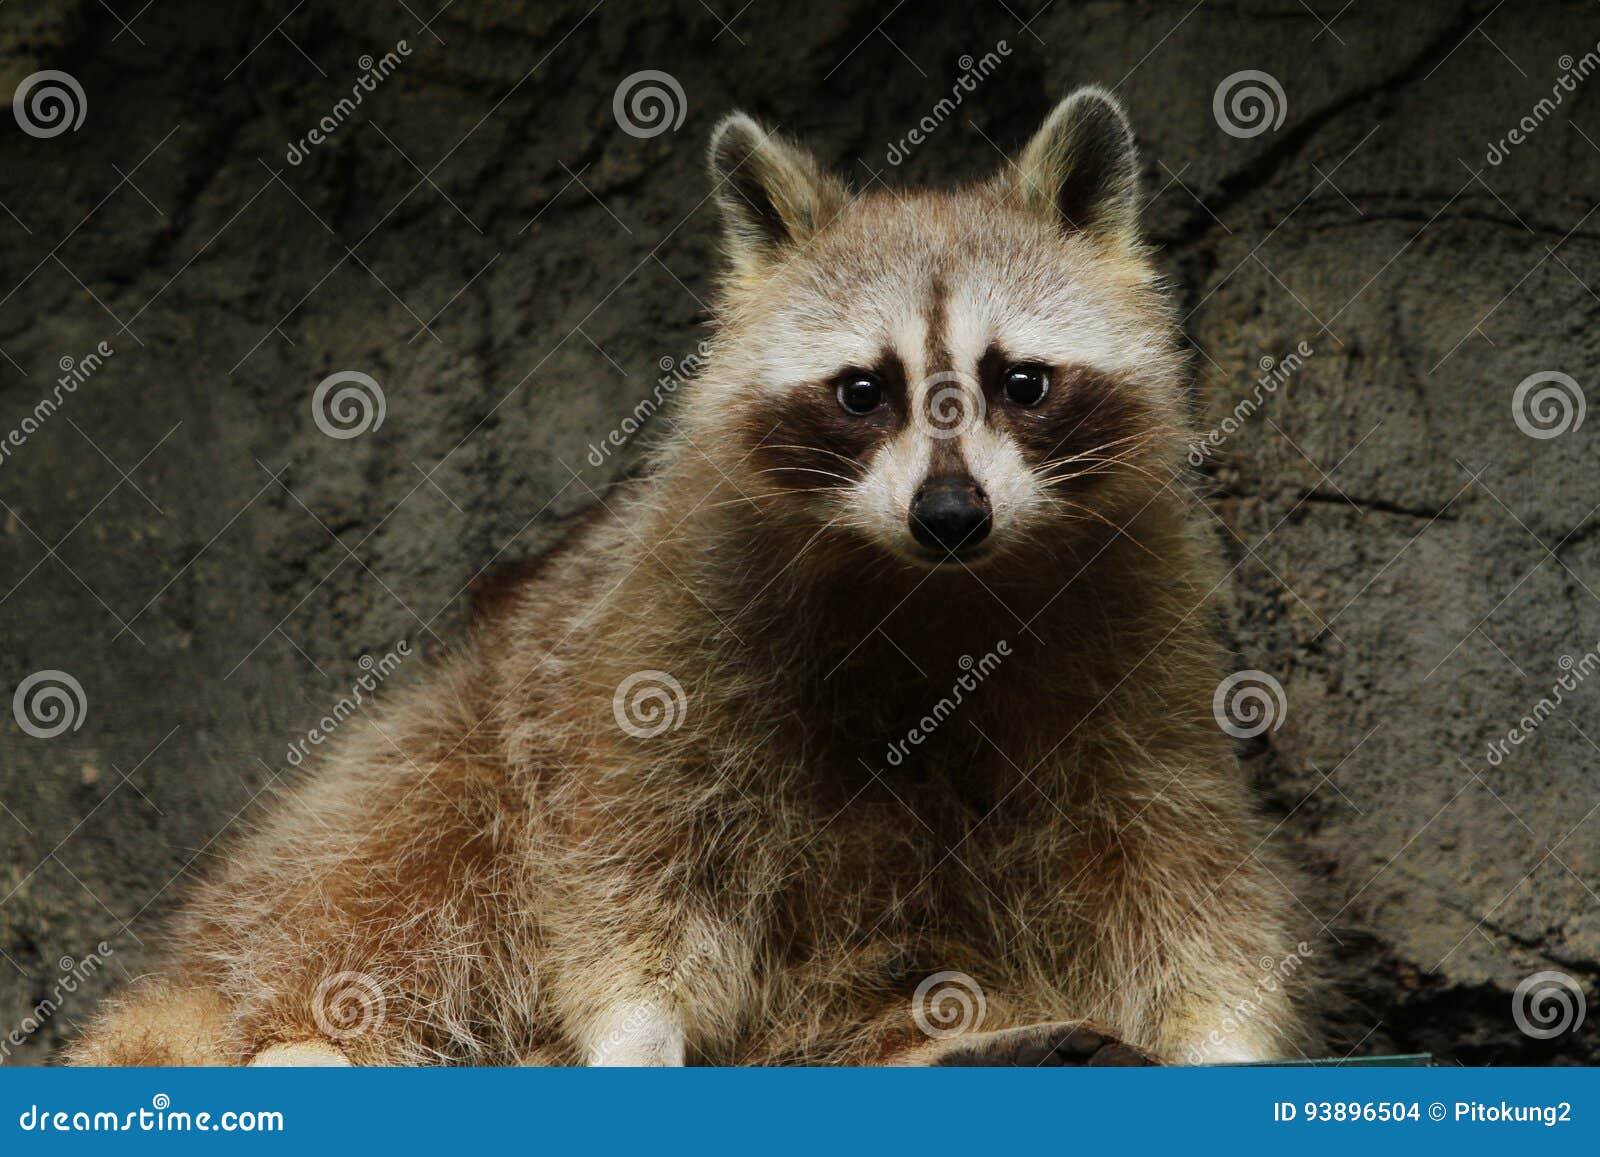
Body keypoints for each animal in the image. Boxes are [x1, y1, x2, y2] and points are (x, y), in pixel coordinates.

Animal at [68, 88, 1315, 1068]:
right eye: (864, 389)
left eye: (1020, 381)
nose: (950, 513)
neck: (926, 586)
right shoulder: (662, 619)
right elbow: (629, 848)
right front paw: (633, 1024)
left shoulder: (1135, 622)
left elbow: (1175, 851)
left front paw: (1220, 1028)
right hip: (407, 779)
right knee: (418, 837)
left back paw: (982, 1039)